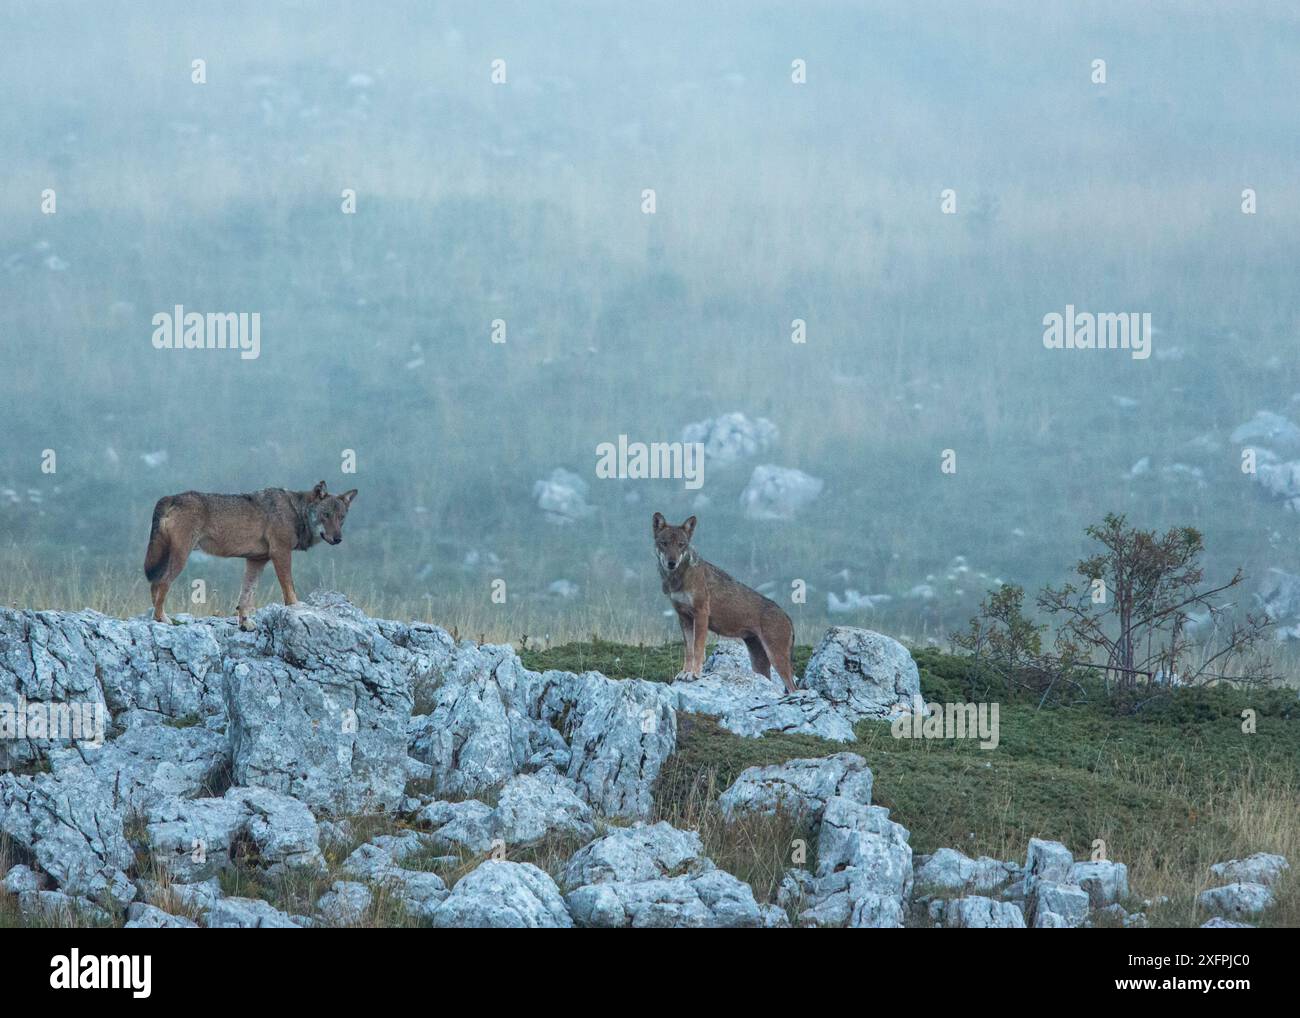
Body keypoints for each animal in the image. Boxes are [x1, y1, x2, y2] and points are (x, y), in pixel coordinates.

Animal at [143, 481, 357, 627]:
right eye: (326, 515)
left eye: (341, 517)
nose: (338, 538)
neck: (296, 511)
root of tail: (171, 497)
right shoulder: (281, 553)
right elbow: (289, 589)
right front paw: (296, 608)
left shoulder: (256, 560)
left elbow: (246, 596)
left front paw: (245, 623)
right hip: (181, 556)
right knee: (162, 583)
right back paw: (162, 618)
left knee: (155, 584)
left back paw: (156, 618)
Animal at [652, 512, 798, 693]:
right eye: (664, 543)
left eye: (681, 545)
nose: (671, 563)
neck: (678, 579)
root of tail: (787, 616)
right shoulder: (684, 618)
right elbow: (689, 651)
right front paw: (685, 673)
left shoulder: (701, 614)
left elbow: (698, 649)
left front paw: (694, 674)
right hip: (759, 664)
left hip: (777, 659)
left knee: (794, 688)